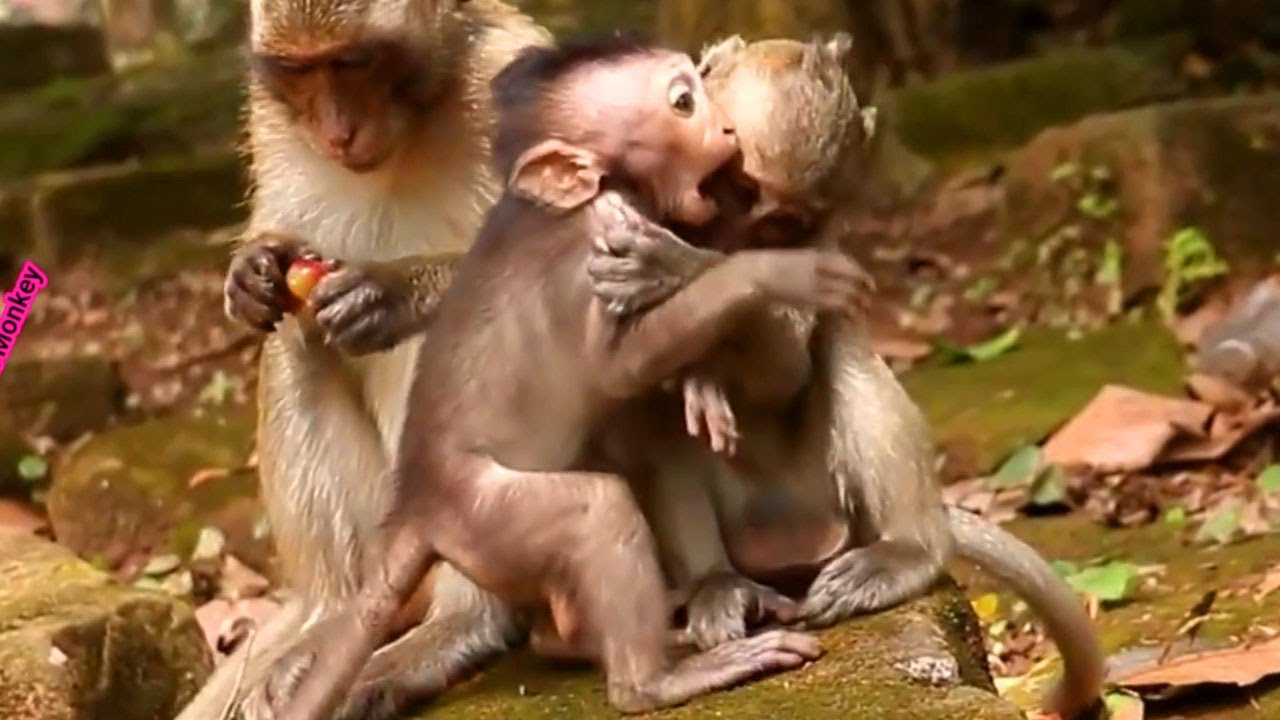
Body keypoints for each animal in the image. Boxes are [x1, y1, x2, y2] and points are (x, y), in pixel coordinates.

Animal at [257, 36, 885, 720]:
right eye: (683, 102)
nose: (725, 128)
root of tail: (417, 508)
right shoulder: (603, 233)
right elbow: (620, 366)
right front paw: (770, 275)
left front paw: (706, 372)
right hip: (486, 514)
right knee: (596, 509)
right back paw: (653, 679)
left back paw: (601, 636)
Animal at [582, 34, 1105, 719]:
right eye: (726, 186)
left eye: (784, 225)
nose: (732, 241)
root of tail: (785, 543)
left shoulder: (818, 251)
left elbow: (784, 372)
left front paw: (683, 273)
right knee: (652, 419)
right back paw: (716, 585)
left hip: (827, 500)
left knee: (843, 352)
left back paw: (907, 552)